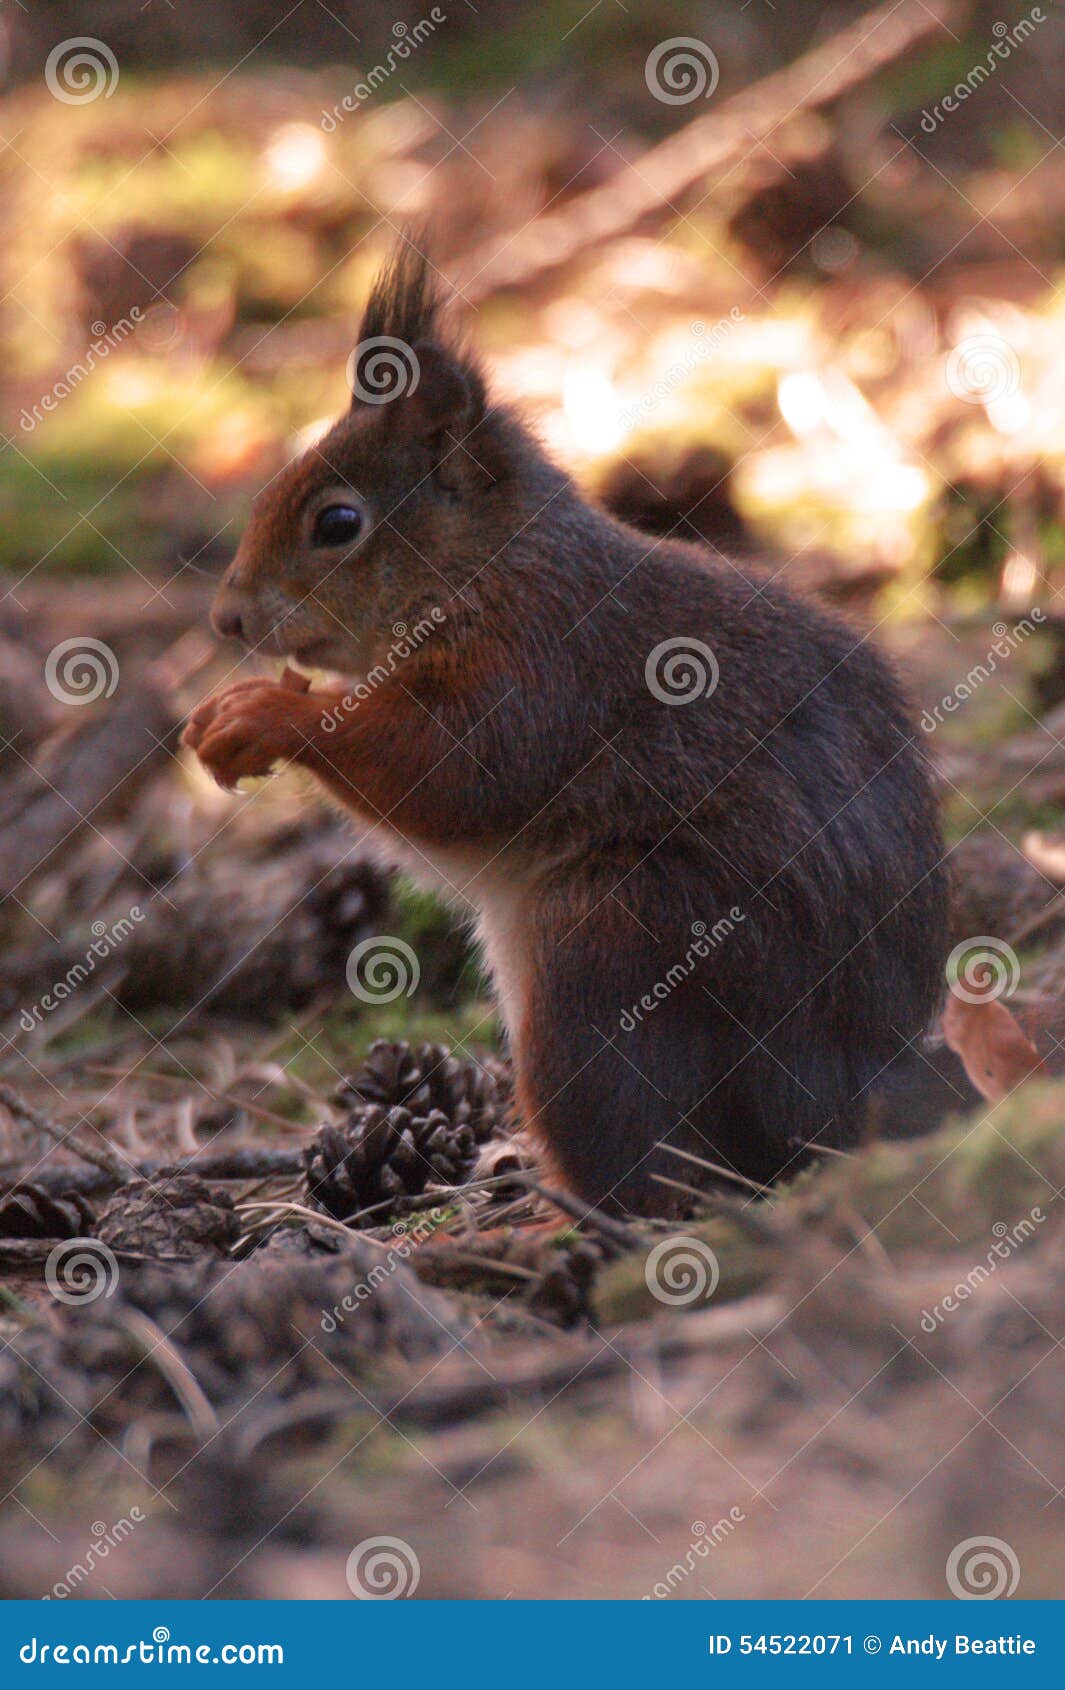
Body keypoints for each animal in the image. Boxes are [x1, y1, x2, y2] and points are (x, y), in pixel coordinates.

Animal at [184, 241, 949, 1217]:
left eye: (339, 523)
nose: (228, 619)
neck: (487, 569)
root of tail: (842, 1077)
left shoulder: (537, 668)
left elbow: (454, 773)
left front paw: (268, 714)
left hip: (615, 948)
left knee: (647, 1160)